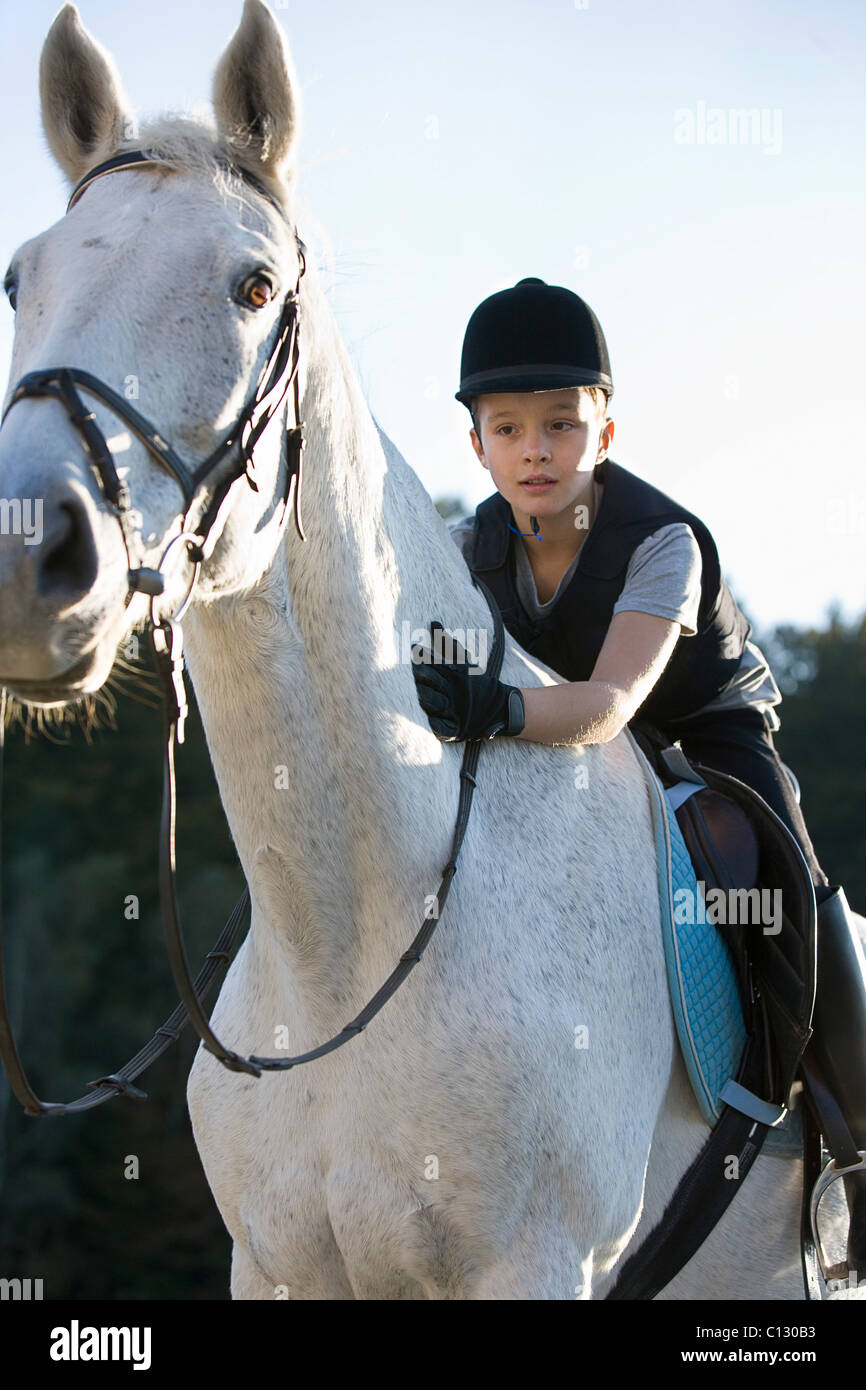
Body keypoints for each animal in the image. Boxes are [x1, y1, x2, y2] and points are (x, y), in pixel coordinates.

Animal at [0, 0, 854, 1299]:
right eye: (20, 280)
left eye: (253, 285)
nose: (20, 556)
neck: (349, 940)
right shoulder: (275, 1268)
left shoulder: (533, 1261)